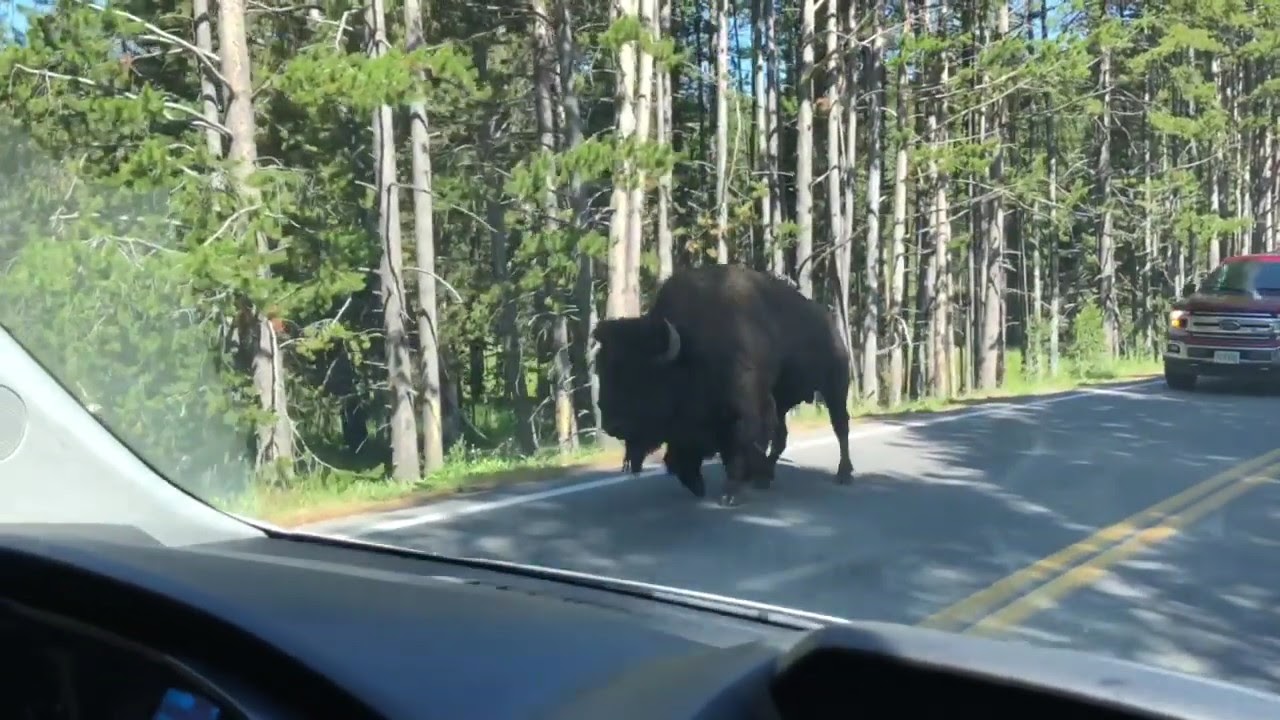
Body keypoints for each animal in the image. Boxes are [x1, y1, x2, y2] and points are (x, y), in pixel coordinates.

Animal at [591, 264, 854, 507]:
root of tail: (829, 321)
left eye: (641, 375)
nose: (612, 425)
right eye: (601, 370)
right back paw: (764, 477)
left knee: (840, 427)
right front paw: (698, 484)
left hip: (835, 387)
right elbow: (682, 455)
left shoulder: (745, 409)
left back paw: (843, 474)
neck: (689, 348)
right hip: (782, 402)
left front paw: (730, 492)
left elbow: (741, 443)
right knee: (782, 437)